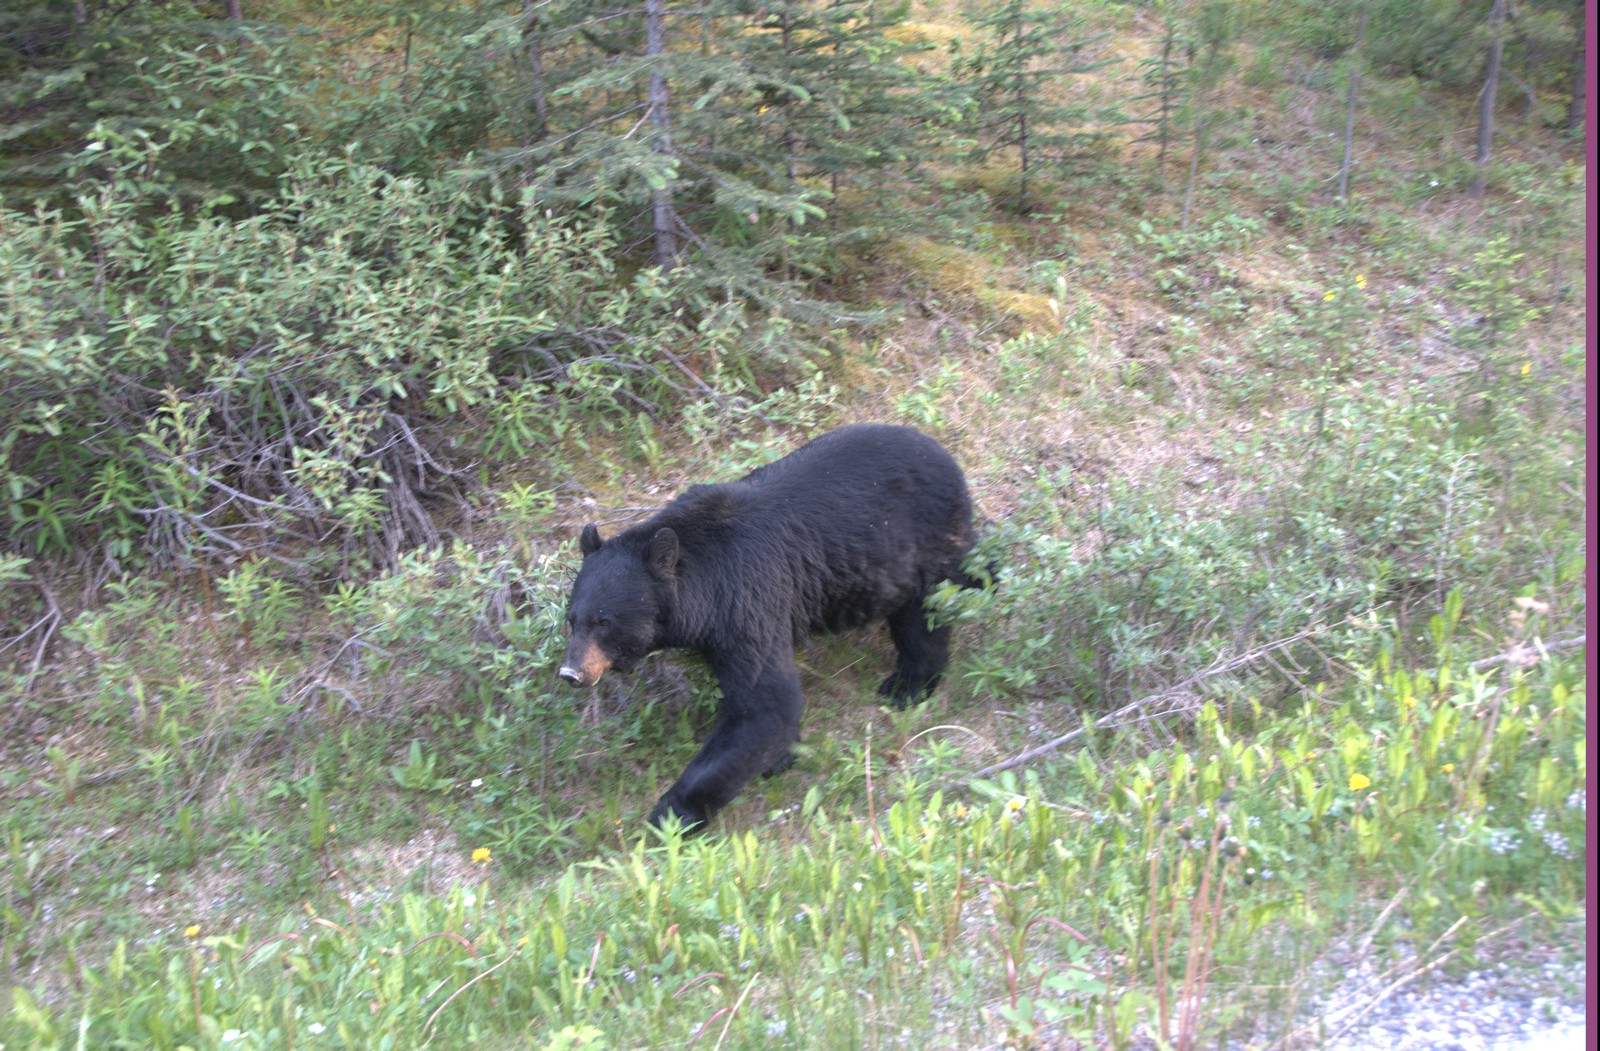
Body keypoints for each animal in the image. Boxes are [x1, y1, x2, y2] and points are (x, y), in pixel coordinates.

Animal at [559, 423, 979, 831]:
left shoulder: (747, 601)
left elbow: (765, 705)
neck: (702, 581)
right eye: (572, 618)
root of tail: (947, 459)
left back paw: (907, 685)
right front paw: (781, 757)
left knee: (924, 617)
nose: (571, 673)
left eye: (604, 622)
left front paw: (672, 814)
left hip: (924, 542)